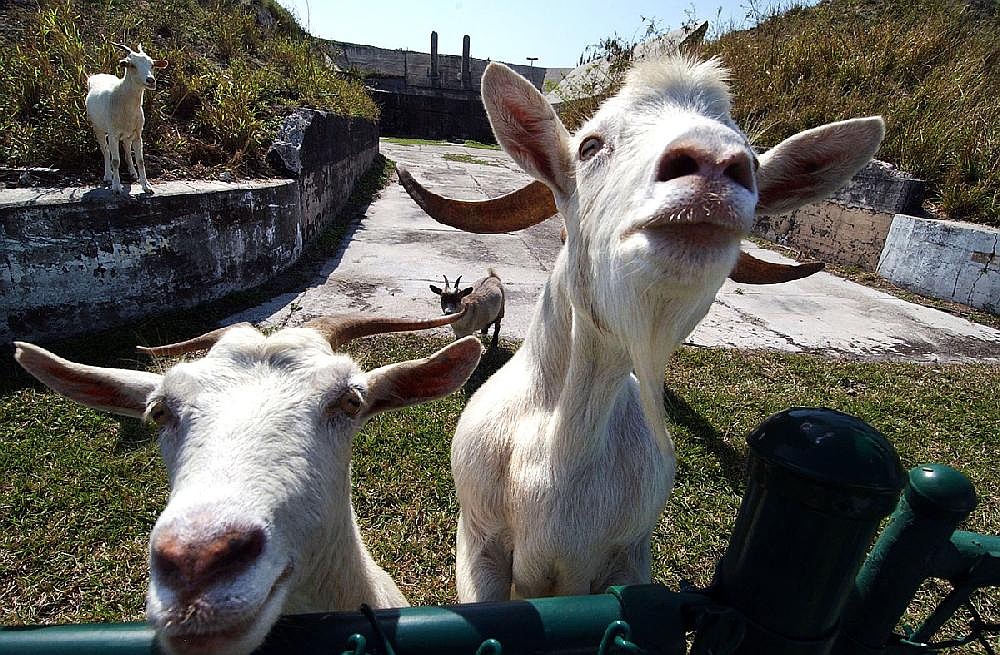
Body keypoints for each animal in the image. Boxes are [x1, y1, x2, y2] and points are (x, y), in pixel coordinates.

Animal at [86, 43, 167, 195]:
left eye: (152, 65)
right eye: (132, 65)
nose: (150, 80)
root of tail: (96, 76)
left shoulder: (137, 134)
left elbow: (140, 160)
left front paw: (146, 186)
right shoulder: (113, 134)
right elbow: (115, 161)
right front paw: (116, 187)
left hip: (127, 134)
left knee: (127, 149)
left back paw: (133, 173)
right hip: (98, 127)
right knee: (105, 150)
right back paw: (108, 177)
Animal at [397, 55, 884, 601]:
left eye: (755, 164)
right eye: (589, 145)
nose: (714, 167)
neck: (558, 462)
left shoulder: (626, 561)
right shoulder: (478, 542)